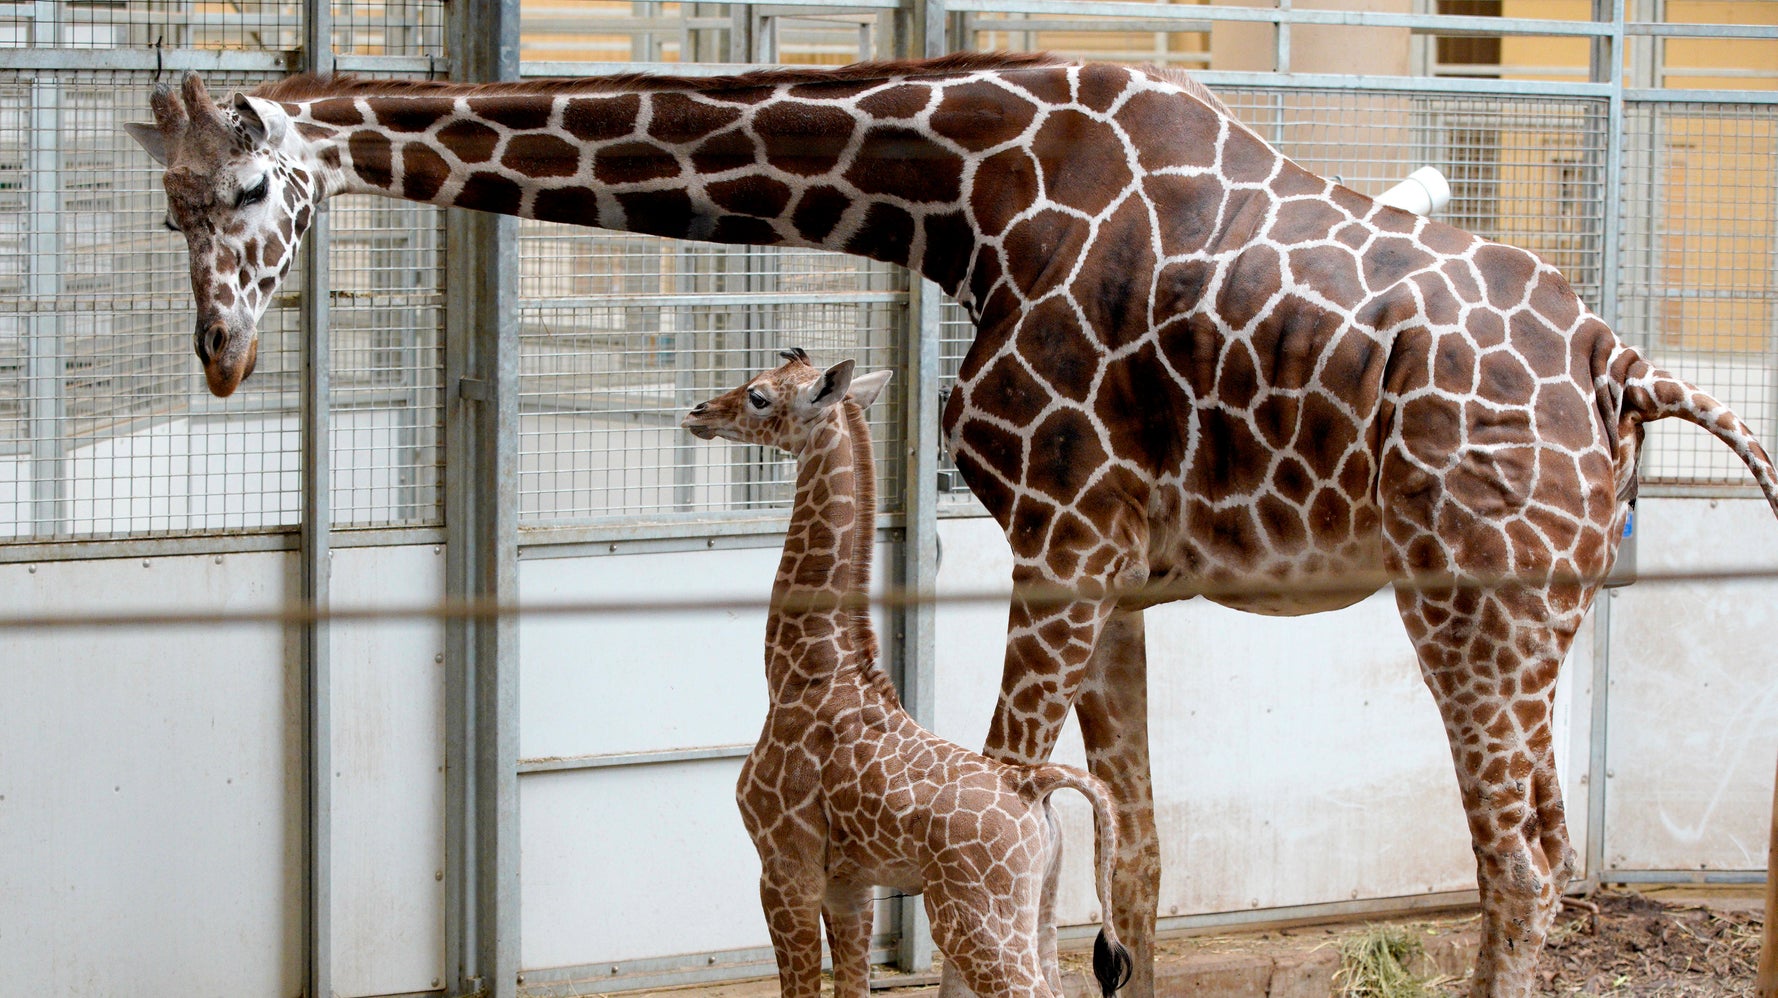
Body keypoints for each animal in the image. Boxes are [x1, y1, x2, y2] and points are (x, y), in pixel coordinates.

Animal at [681, 348, 1132, 998]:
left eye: (759, 396)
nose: (697, 412)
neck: (803, 674)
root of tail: (1034, 787)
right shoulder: (849, 882)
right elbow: (851, 985)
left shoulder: (785, 866)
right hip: (1039, 905)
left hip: (974, 918)